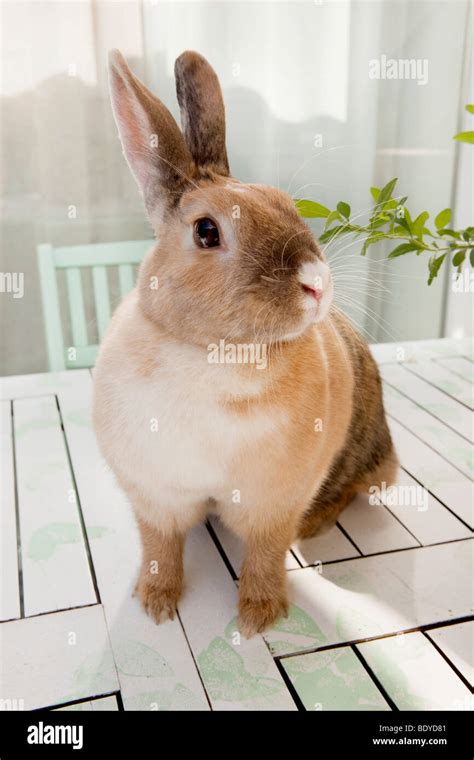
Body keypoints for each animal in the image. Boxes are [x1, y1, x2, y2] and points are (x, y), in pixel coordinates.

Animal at [93, 49, 398, 638]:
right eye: (206, 231)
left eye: (284, 203)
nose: (316, 282)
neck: (217, 358)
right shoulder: (154, 494)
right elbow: (160, 546)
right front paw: (156, 604)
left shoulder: (274, 500)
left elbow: (266, 551)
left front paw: (259, 615)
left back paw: (315, 526)